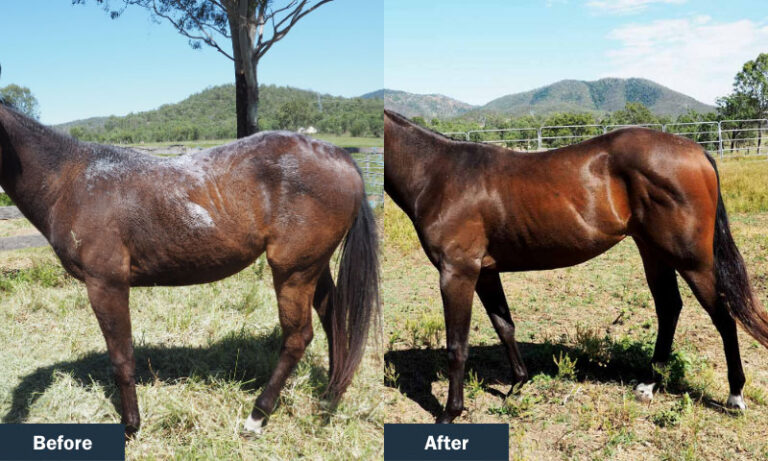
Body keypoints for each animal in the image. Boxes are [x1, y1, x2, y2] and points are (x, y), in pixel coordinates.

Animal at [0, 99, 380, 436]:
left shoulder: (106, 285)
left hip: (293, 271)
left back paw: (258, 416)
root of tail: (341, 156)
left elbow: (122, 359)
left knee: (298, 338)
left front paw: (132, 426)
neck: (72, 181)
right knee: (334, 319)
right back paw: (330, 396)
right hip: (313, 267)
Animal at [383, 109, 768, 423]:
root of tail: (697, 151)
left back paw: (734, 395)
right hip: (653, 251)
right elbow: (504, 326)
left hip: (691, 260)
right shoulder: (486, 272)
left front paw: (450, 413)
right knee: (669, 307)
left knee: (723, 316)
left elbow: (457, 346)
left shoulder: (457, 272)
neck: (439, 175)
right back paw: (649, 383)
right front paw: (517, 386)